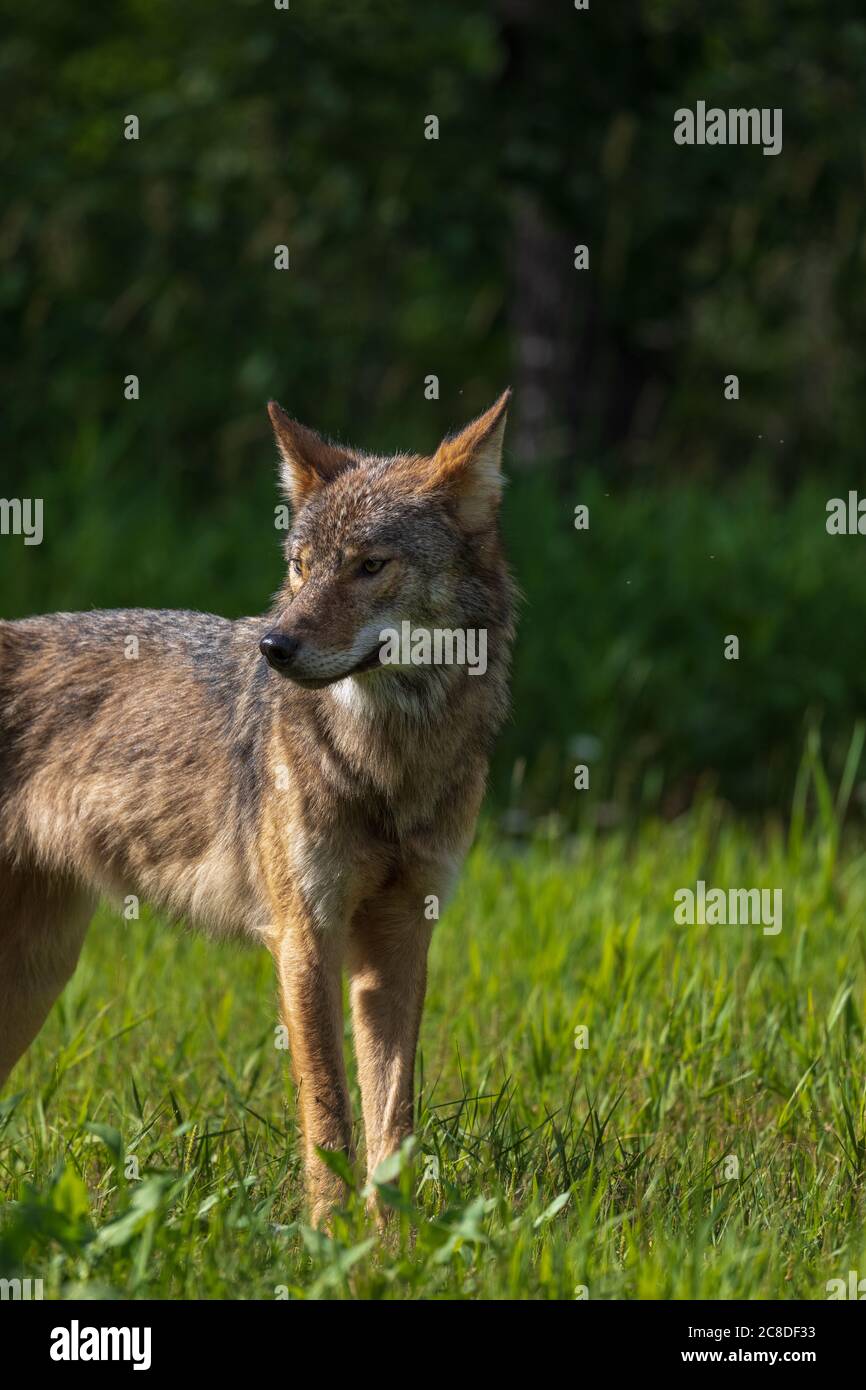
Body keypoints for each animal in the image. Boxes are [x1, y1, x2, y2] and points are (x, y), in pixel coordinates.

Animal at [0, 390, 515, 1224]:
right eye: (300, 568)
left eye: (370, 565)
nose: (274, 647)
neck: (385, 763)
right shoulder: (305, 937)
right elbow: (329, 1115)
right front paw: (329, 1236)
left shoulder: (402, 937)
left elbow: (391, 1122)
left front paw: (396, 1243)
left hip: (37, 973)